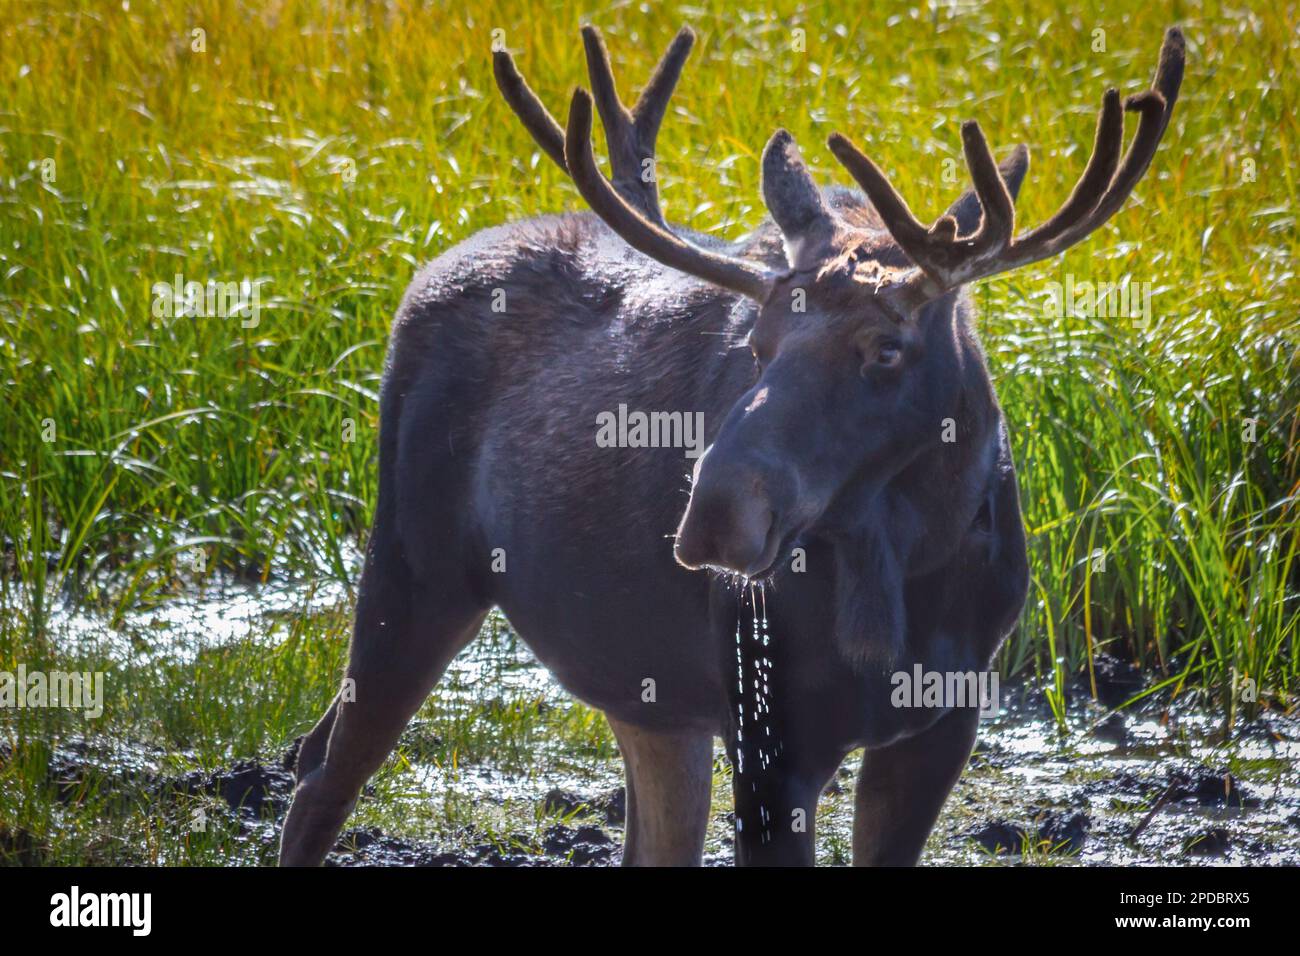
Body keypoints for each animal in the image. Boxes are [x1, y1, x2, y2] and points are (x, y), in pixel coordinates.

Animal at [279, 24, 1184, 866]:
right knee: (318, 776)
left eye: (886, 349)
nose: (714, 512)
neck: (909, 566)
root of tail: (425, 275)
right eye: (758, 343)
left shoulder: (944, 722)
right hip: (415, 570)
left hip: (650, 698)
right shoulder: (769, 734)